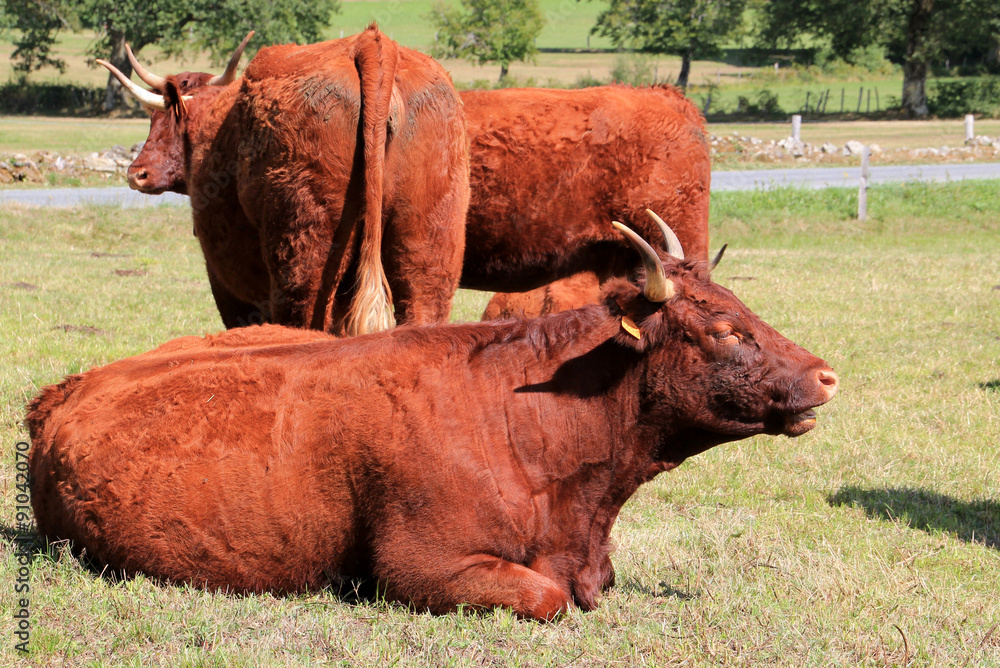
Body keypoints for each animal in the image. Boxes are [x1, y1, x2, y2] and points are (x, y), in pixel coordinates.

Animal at [99, 25, 470, 337]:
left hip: (303, 255)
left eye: (166, 121)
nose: (137, 173)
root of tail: (370, 43)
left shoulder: (228, 286)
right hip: (425, 247)